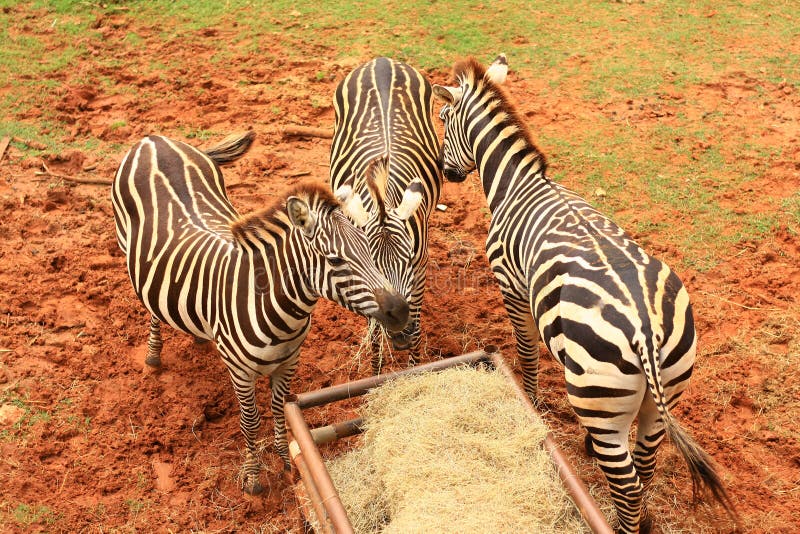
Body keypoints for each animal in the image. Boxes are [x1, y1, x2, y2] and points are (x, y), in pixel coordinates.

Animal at [111, 132, 409, 495]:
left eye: (368, 248)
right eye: (335, 260)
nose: (400, 310)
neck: (283, 317)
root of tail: (154, 139)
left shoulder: (288, 363)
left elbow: (281, 411)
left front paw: (287, 463)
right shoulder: (240, 372)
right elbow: (250, 422)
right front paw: (253, 479)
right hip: (127, 244)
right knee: (151, 305)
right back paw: (153, 356)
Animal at [330, 57, 442, 373]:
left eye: (407, 262)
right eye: (372, 265)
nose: (400, 333)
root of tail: (381, 61)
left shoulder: (419, 267)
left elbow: (416, 326)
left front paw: (415, 368)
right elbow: (375, 328)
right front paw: (375, 370)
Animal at [433, 55, 737, 533]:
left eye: (444, 119)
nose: (447, 173)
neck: (519, 184)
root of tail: (646, 333)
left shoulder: (510, 284)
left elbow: (526, 350)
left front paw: (532, 400)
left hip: (598, 395)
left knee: (627, 482)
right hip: (664, 391)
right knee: (644, 466)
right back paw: (642, 514)